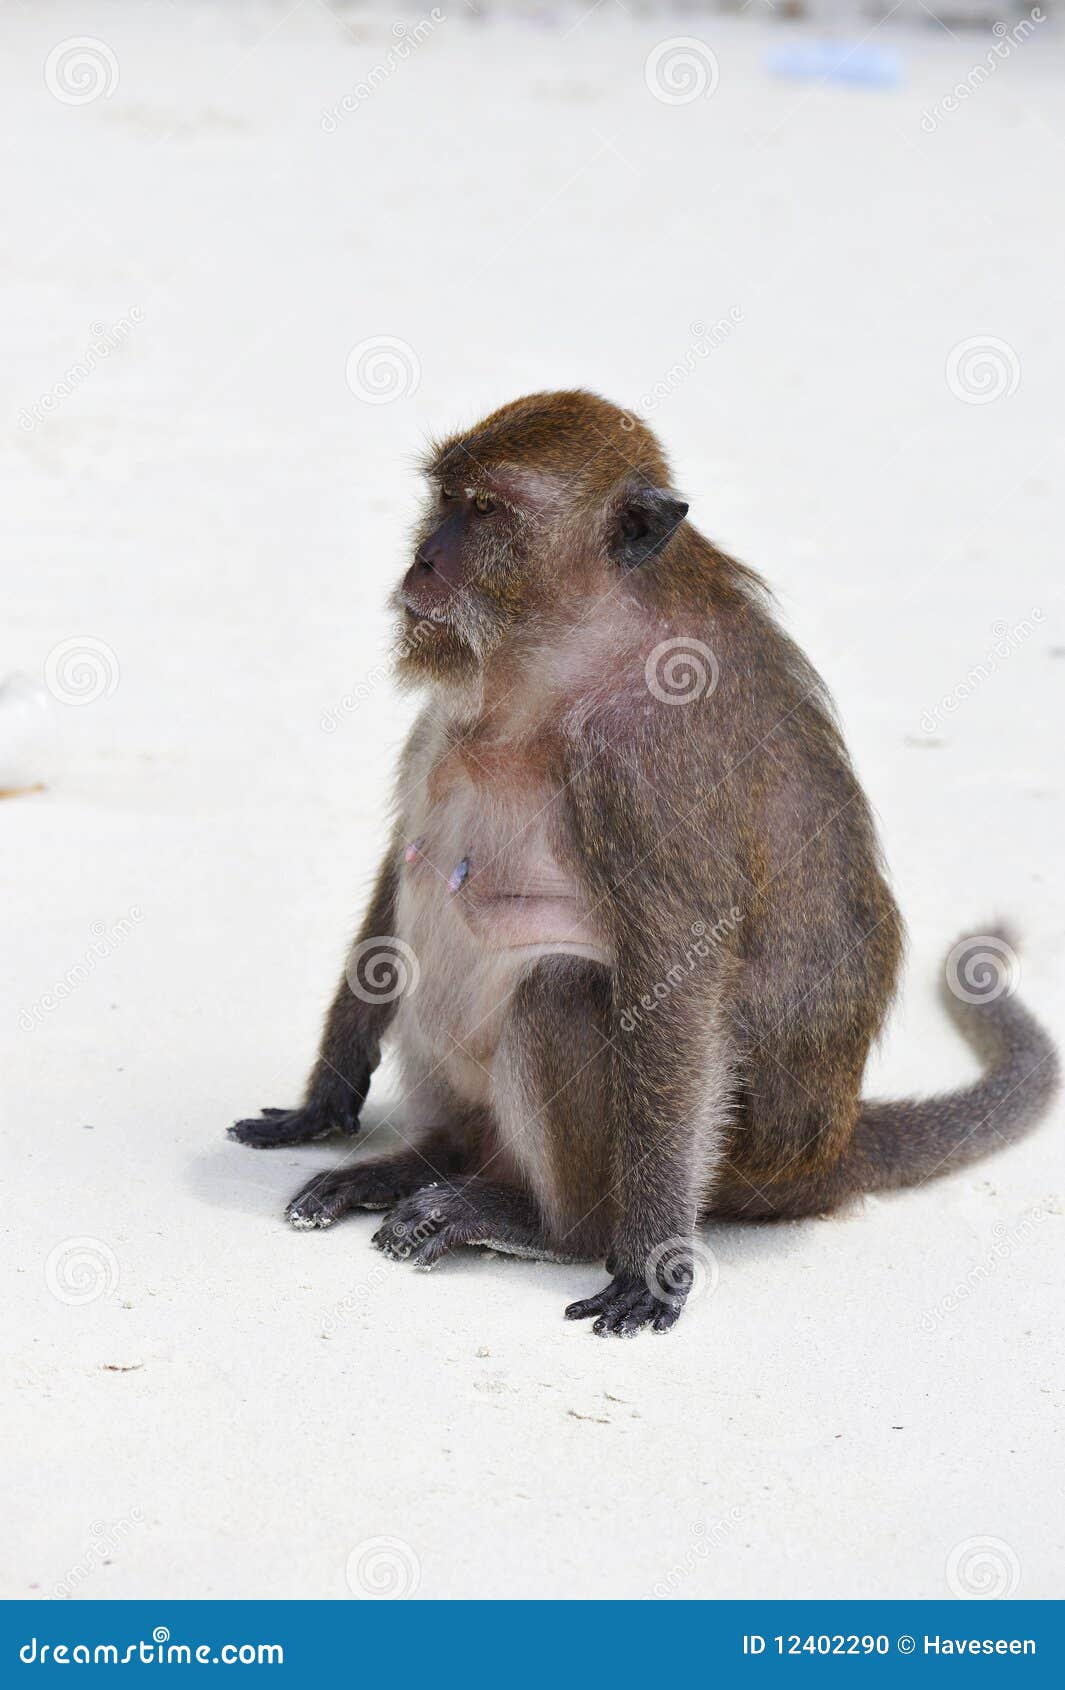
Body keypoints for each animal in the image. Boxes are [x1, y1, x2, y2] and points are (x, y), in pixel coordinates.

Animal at [228, 390, 1059, 1337]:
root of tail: (823, 1150)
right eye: (442, 499)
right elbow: (395, 870)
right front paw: (324, 1102)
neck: (562, 660)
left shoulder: (646, 758)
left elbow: (679, 978)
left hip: (717, 1161)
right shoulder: (451, 709)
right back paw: (422, 1162)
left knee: (564, 991)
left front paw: (649, 1264)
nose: (424, 560)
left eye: (487, 511)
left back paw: (543, 1225)